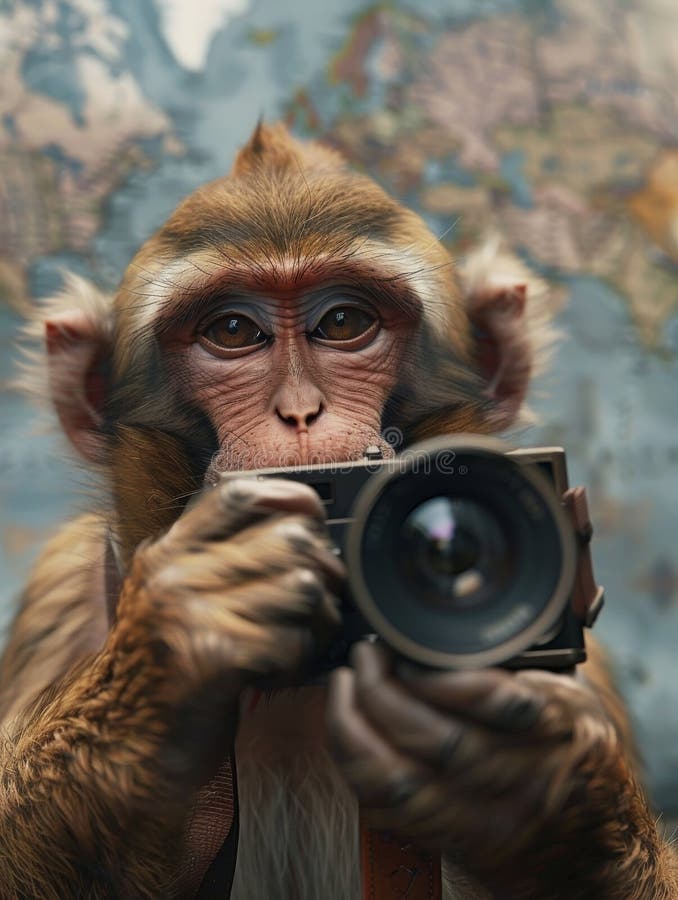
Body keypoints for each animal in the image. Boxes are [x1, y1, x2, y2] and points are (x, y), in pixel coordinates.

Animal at [1, 122, 677, 900]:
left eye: (345, 321)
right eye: (232, 332)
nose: (299, 411)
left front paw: (544, 787)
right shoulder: (66, 595)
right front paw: (166, 661)